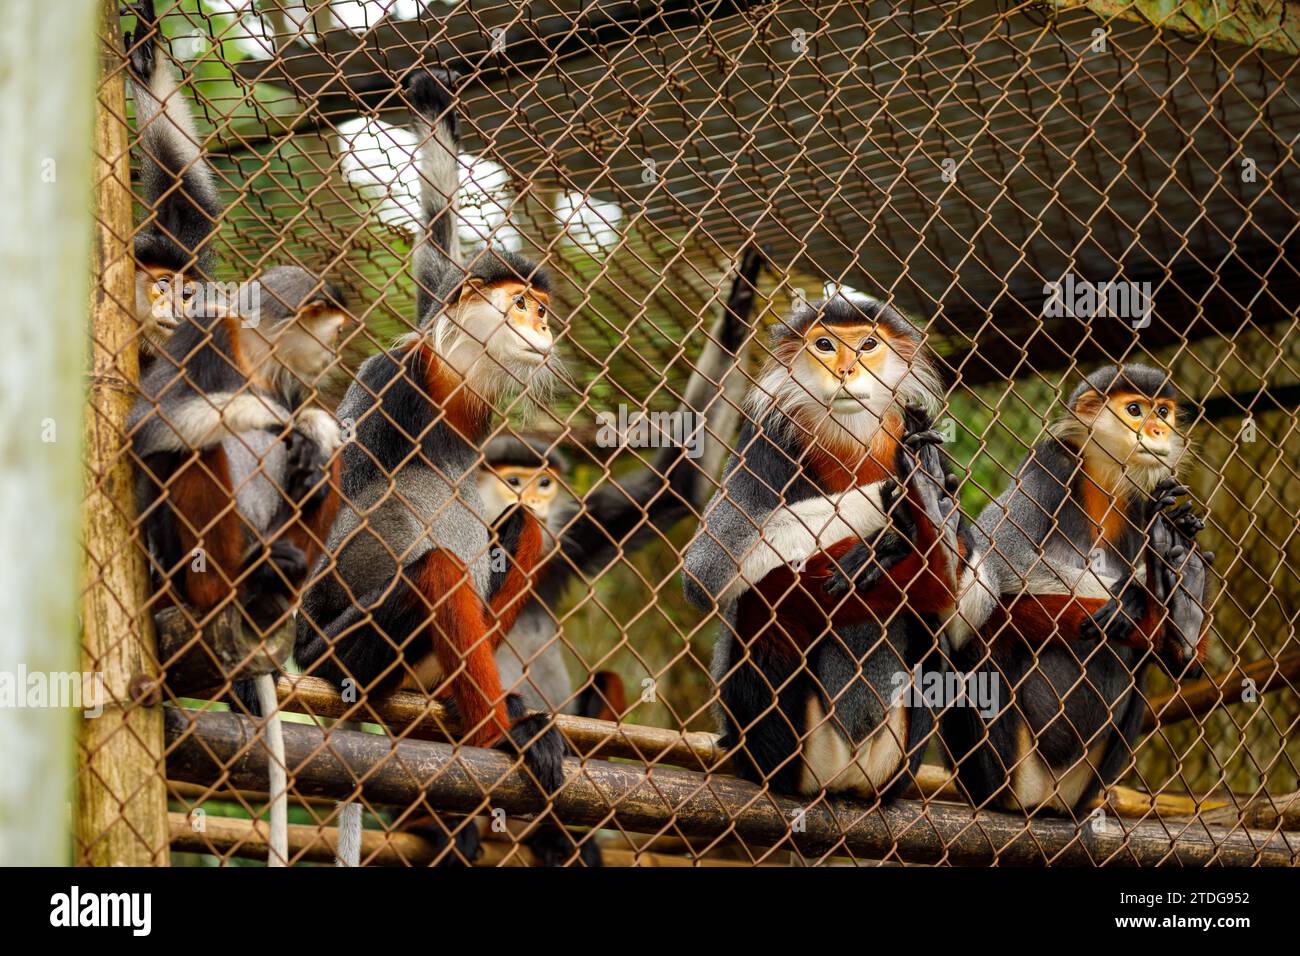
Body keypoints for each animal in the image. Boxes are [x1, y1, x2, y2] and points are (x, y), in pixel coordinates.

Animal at [121, 1, 221, 360]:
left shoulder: (183, 236)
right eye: (162, 285)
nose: (179, 307)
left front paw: (146, 64)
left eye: (187, 294)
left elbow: (183, 193)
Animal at [292, 69, 567, 865]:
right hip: (352, 653)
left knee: (523, 530)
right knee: (441, 569)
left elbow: (435, 245)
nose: (544, 326)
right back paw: (503, 743)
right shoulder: (393, 374)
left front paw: (435, 104)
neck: (449, 385)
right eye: (522, 305)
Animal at [682, 295, 965, 801]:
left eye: (868, 344)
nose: (845, 370)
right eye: (825, 345)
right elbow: (707, 569)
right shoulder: (766, 437)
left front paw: (904, 525)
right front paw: (900, 504)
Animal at [937, 364, 1213, 816]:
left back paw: (1183, 604)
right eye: (1135, 410)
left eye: (1163, 411)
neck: (1102, 477)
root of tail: (1045, 800)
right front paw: (1131, 593)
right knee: (979, 628)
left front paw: (1154, 583)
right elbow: (1001, 554)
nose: (1158, 430)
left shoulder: (1140, 503)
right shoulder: (1051, 463)